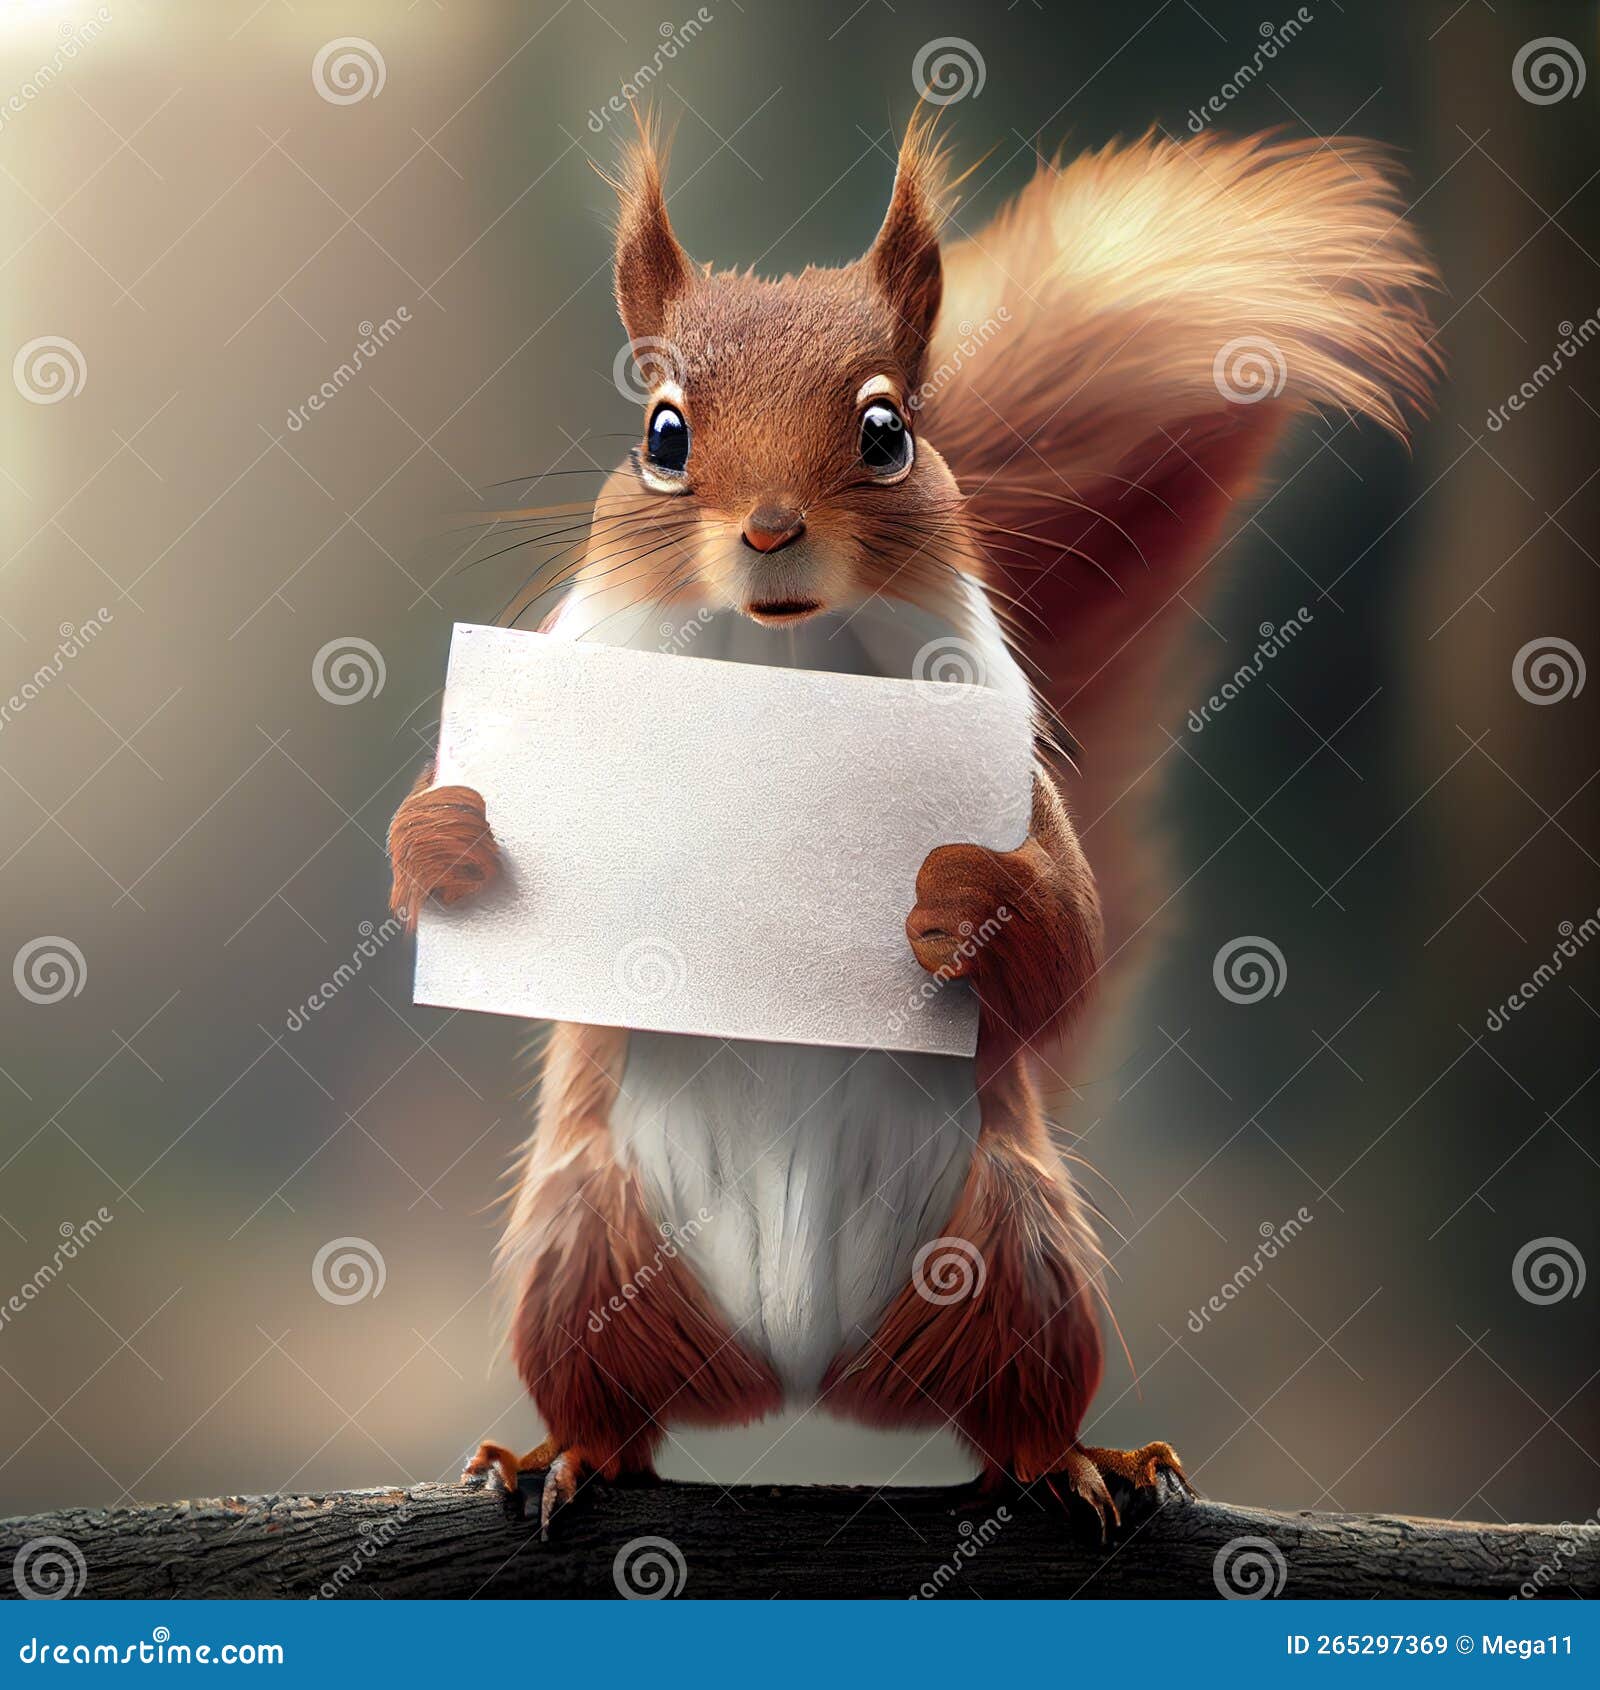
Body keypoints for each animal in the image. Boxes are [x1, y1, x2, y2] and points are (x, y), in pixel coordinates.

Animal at [388, 113, 1439, 1539]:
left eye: (887, 431)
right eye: (661, 436)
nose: (772, 526)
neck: (785, 673)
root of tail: (798, 1377)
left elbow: (1068, 951)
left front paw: (962, 897)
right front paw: (446, 833)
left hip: (1022, 1254)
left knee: (1009, 1404)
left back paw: (1070, 1460)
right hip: (581, 1248)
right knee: (617, 1398)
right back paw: (571, 1451)